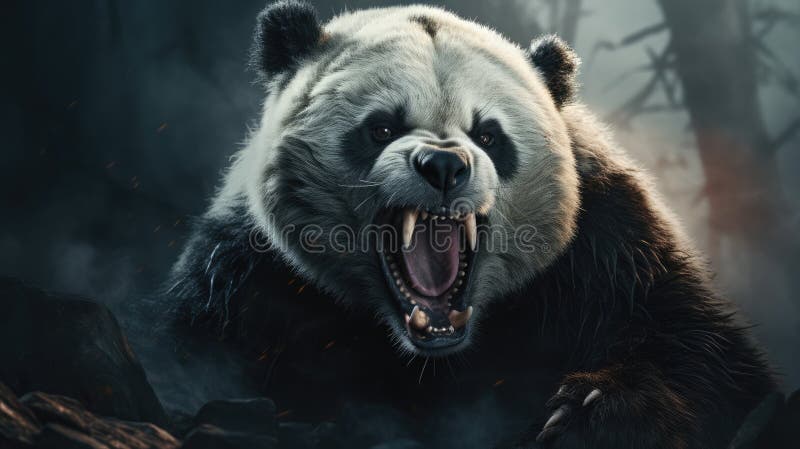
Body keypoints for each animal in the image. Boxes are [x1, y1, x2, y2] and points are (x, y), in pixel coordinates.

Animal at [166, 2, 776, 448]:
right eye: (381, 127)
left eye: (488, 134)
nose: (443, 167)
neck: (433, 349)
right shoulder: (248, 275)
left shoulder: (606, 244)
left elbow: (699, 348)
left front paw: (592, 415)